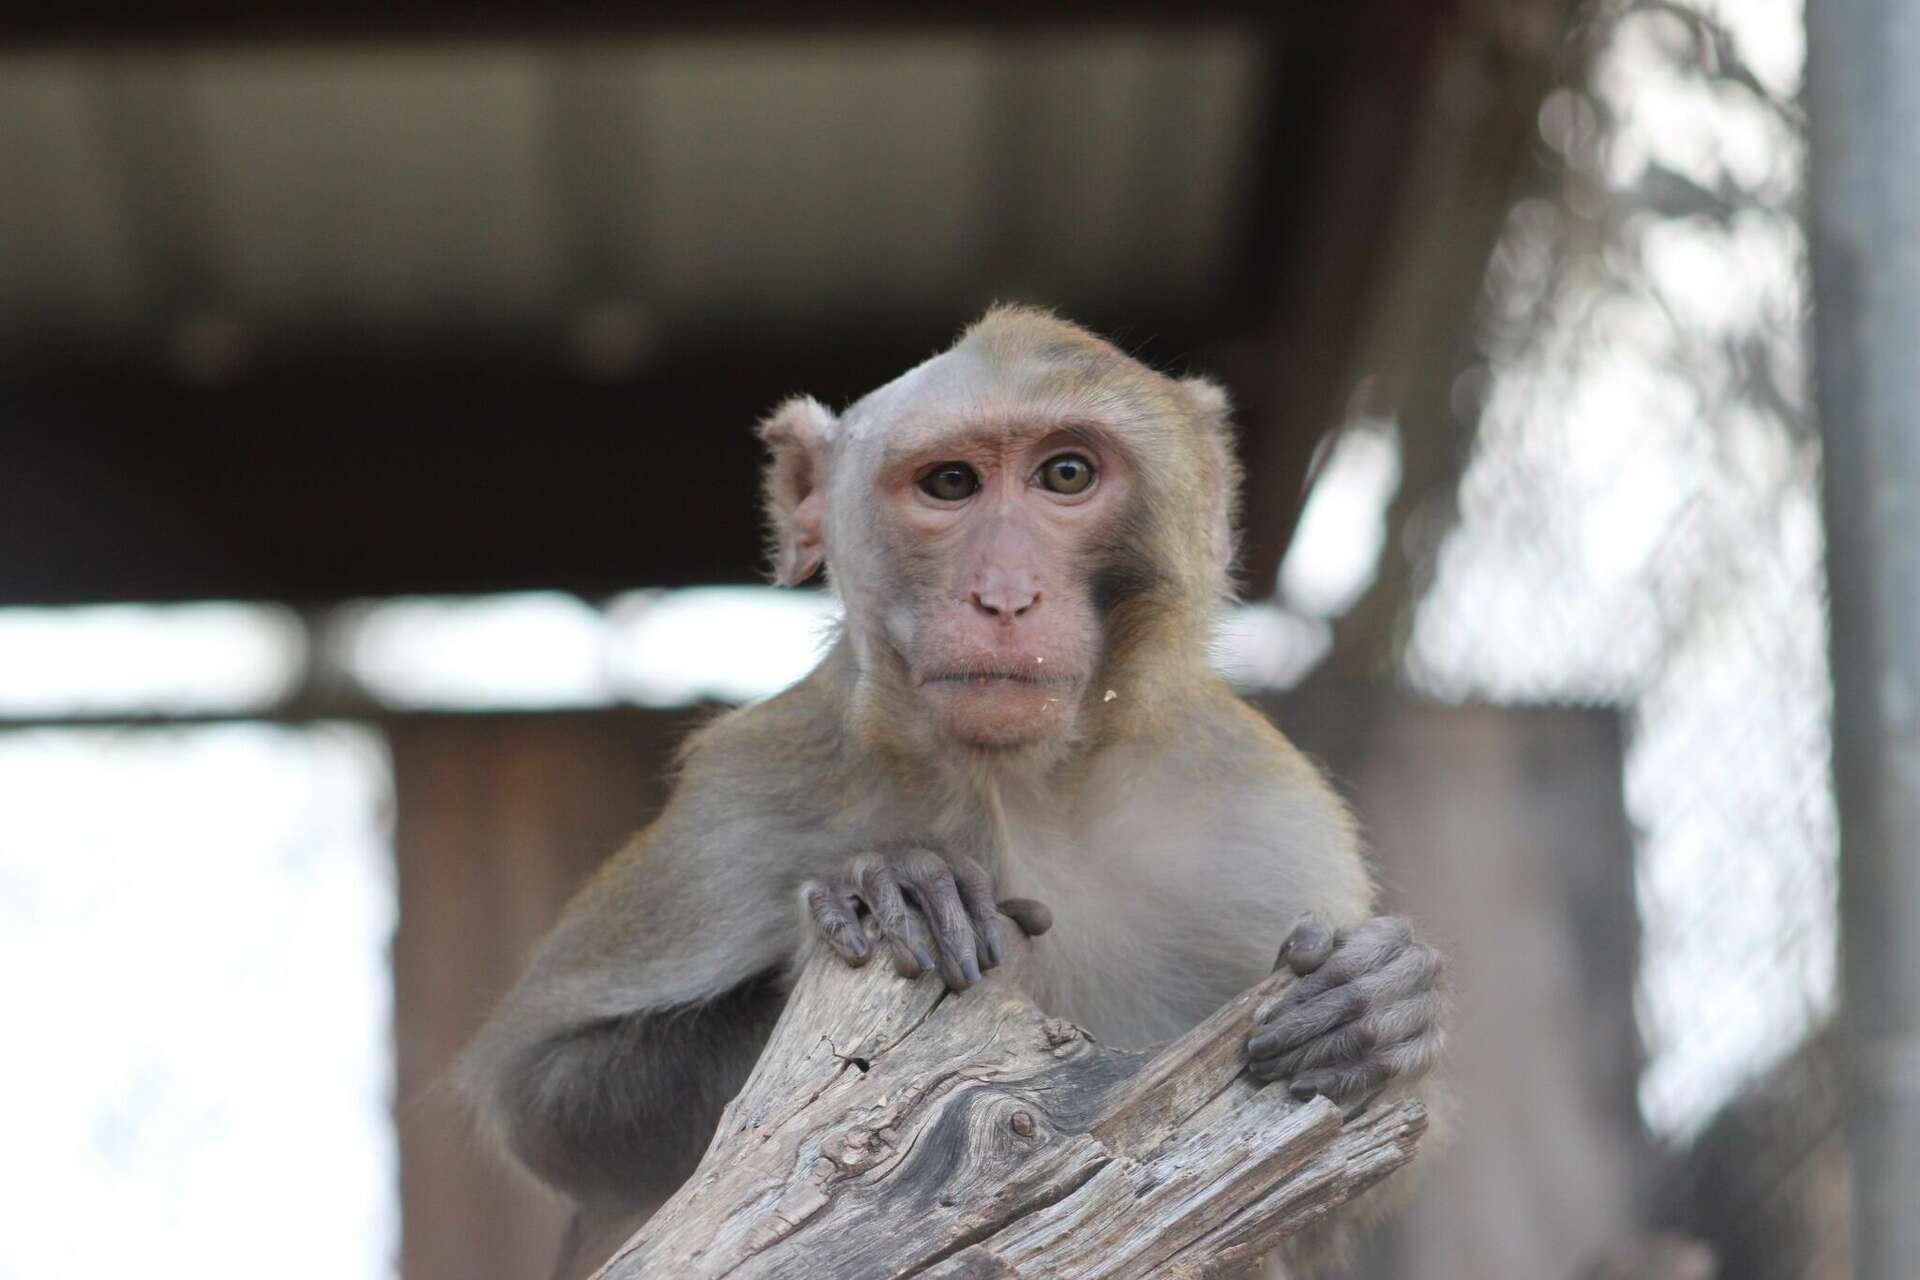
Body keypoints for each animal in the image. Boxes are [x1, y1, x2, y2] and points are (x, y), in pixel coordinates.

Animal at [455, 305, 1445, 1277]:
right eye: (951, 484)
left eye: (1067, 474)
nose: (1004, 598)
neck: (1015, 782)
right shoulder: (751, 796)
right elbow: (550, 1092)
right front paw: (893, 891)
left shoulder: (1259, 811)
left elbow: (1316, 1179)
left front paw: (1380, 1009)